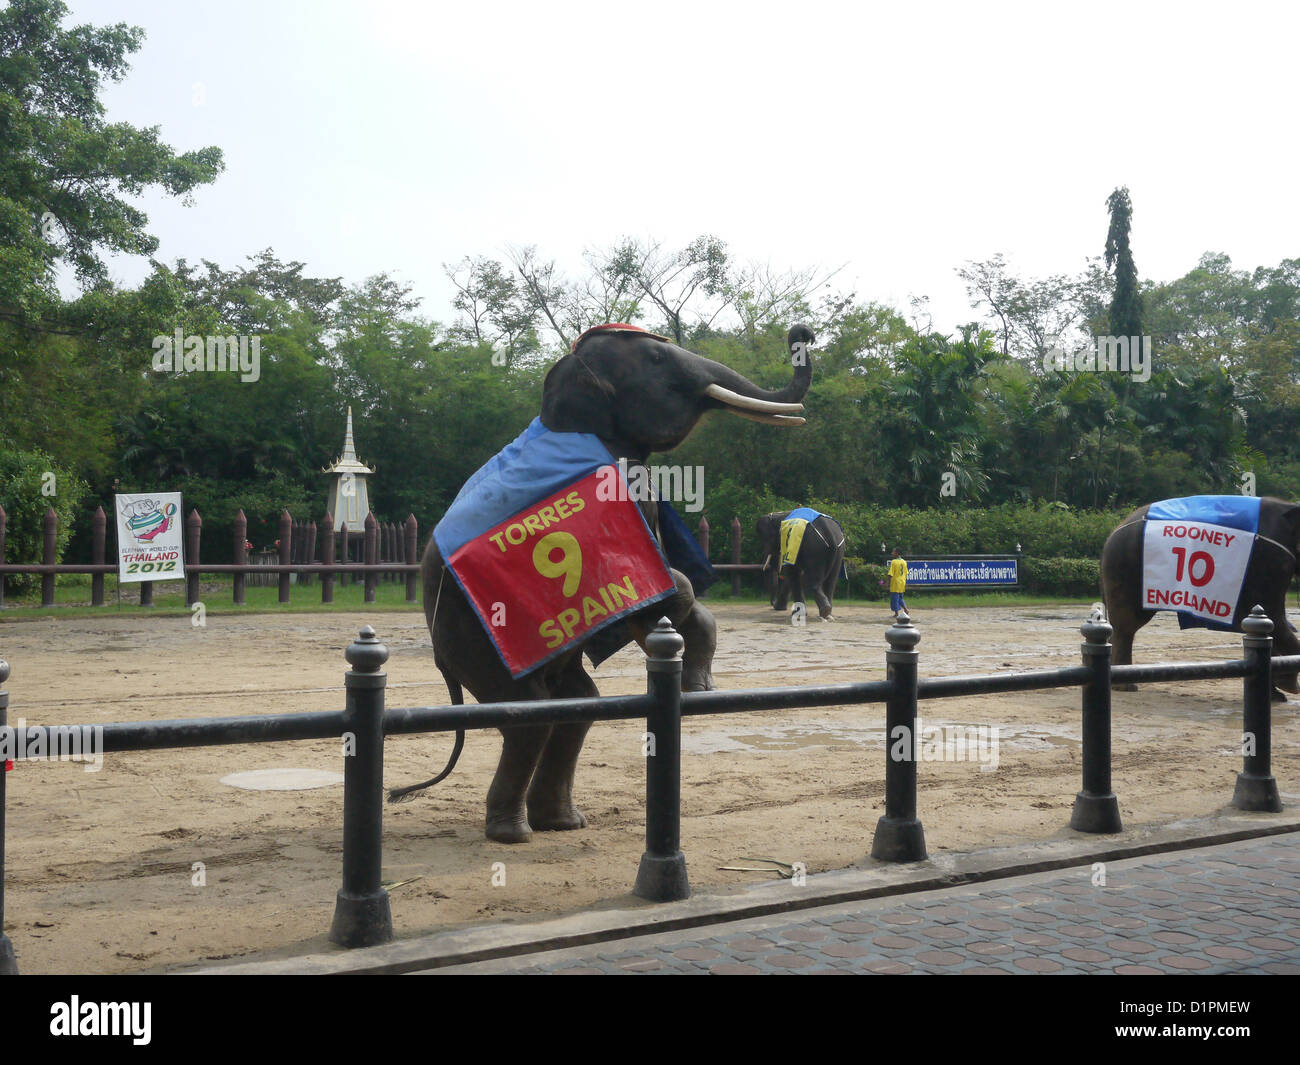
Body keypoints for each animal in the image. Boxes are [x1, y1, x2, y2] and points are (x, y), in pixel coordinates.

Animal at [390, 322, 815, 843]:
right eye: (657, 359)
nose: (801, 332)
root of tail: (437, 655)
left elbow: (673, 579)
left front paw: (699, 687)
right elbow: (664, 579)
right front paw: (661, 637)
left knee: (578, 705)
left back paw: (561, 823)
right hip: (472, 636)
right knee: (527, 716)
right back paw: (514, 833)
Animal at [1099, 495, 1300, 700]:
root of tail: (1113, 531)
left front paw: (1277, 694)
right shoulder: (1267, 562)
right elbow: (1273, 619)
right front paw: (1289, 686)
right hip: (1126, 568)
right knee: (1127, 624)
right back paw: (1125, 686)